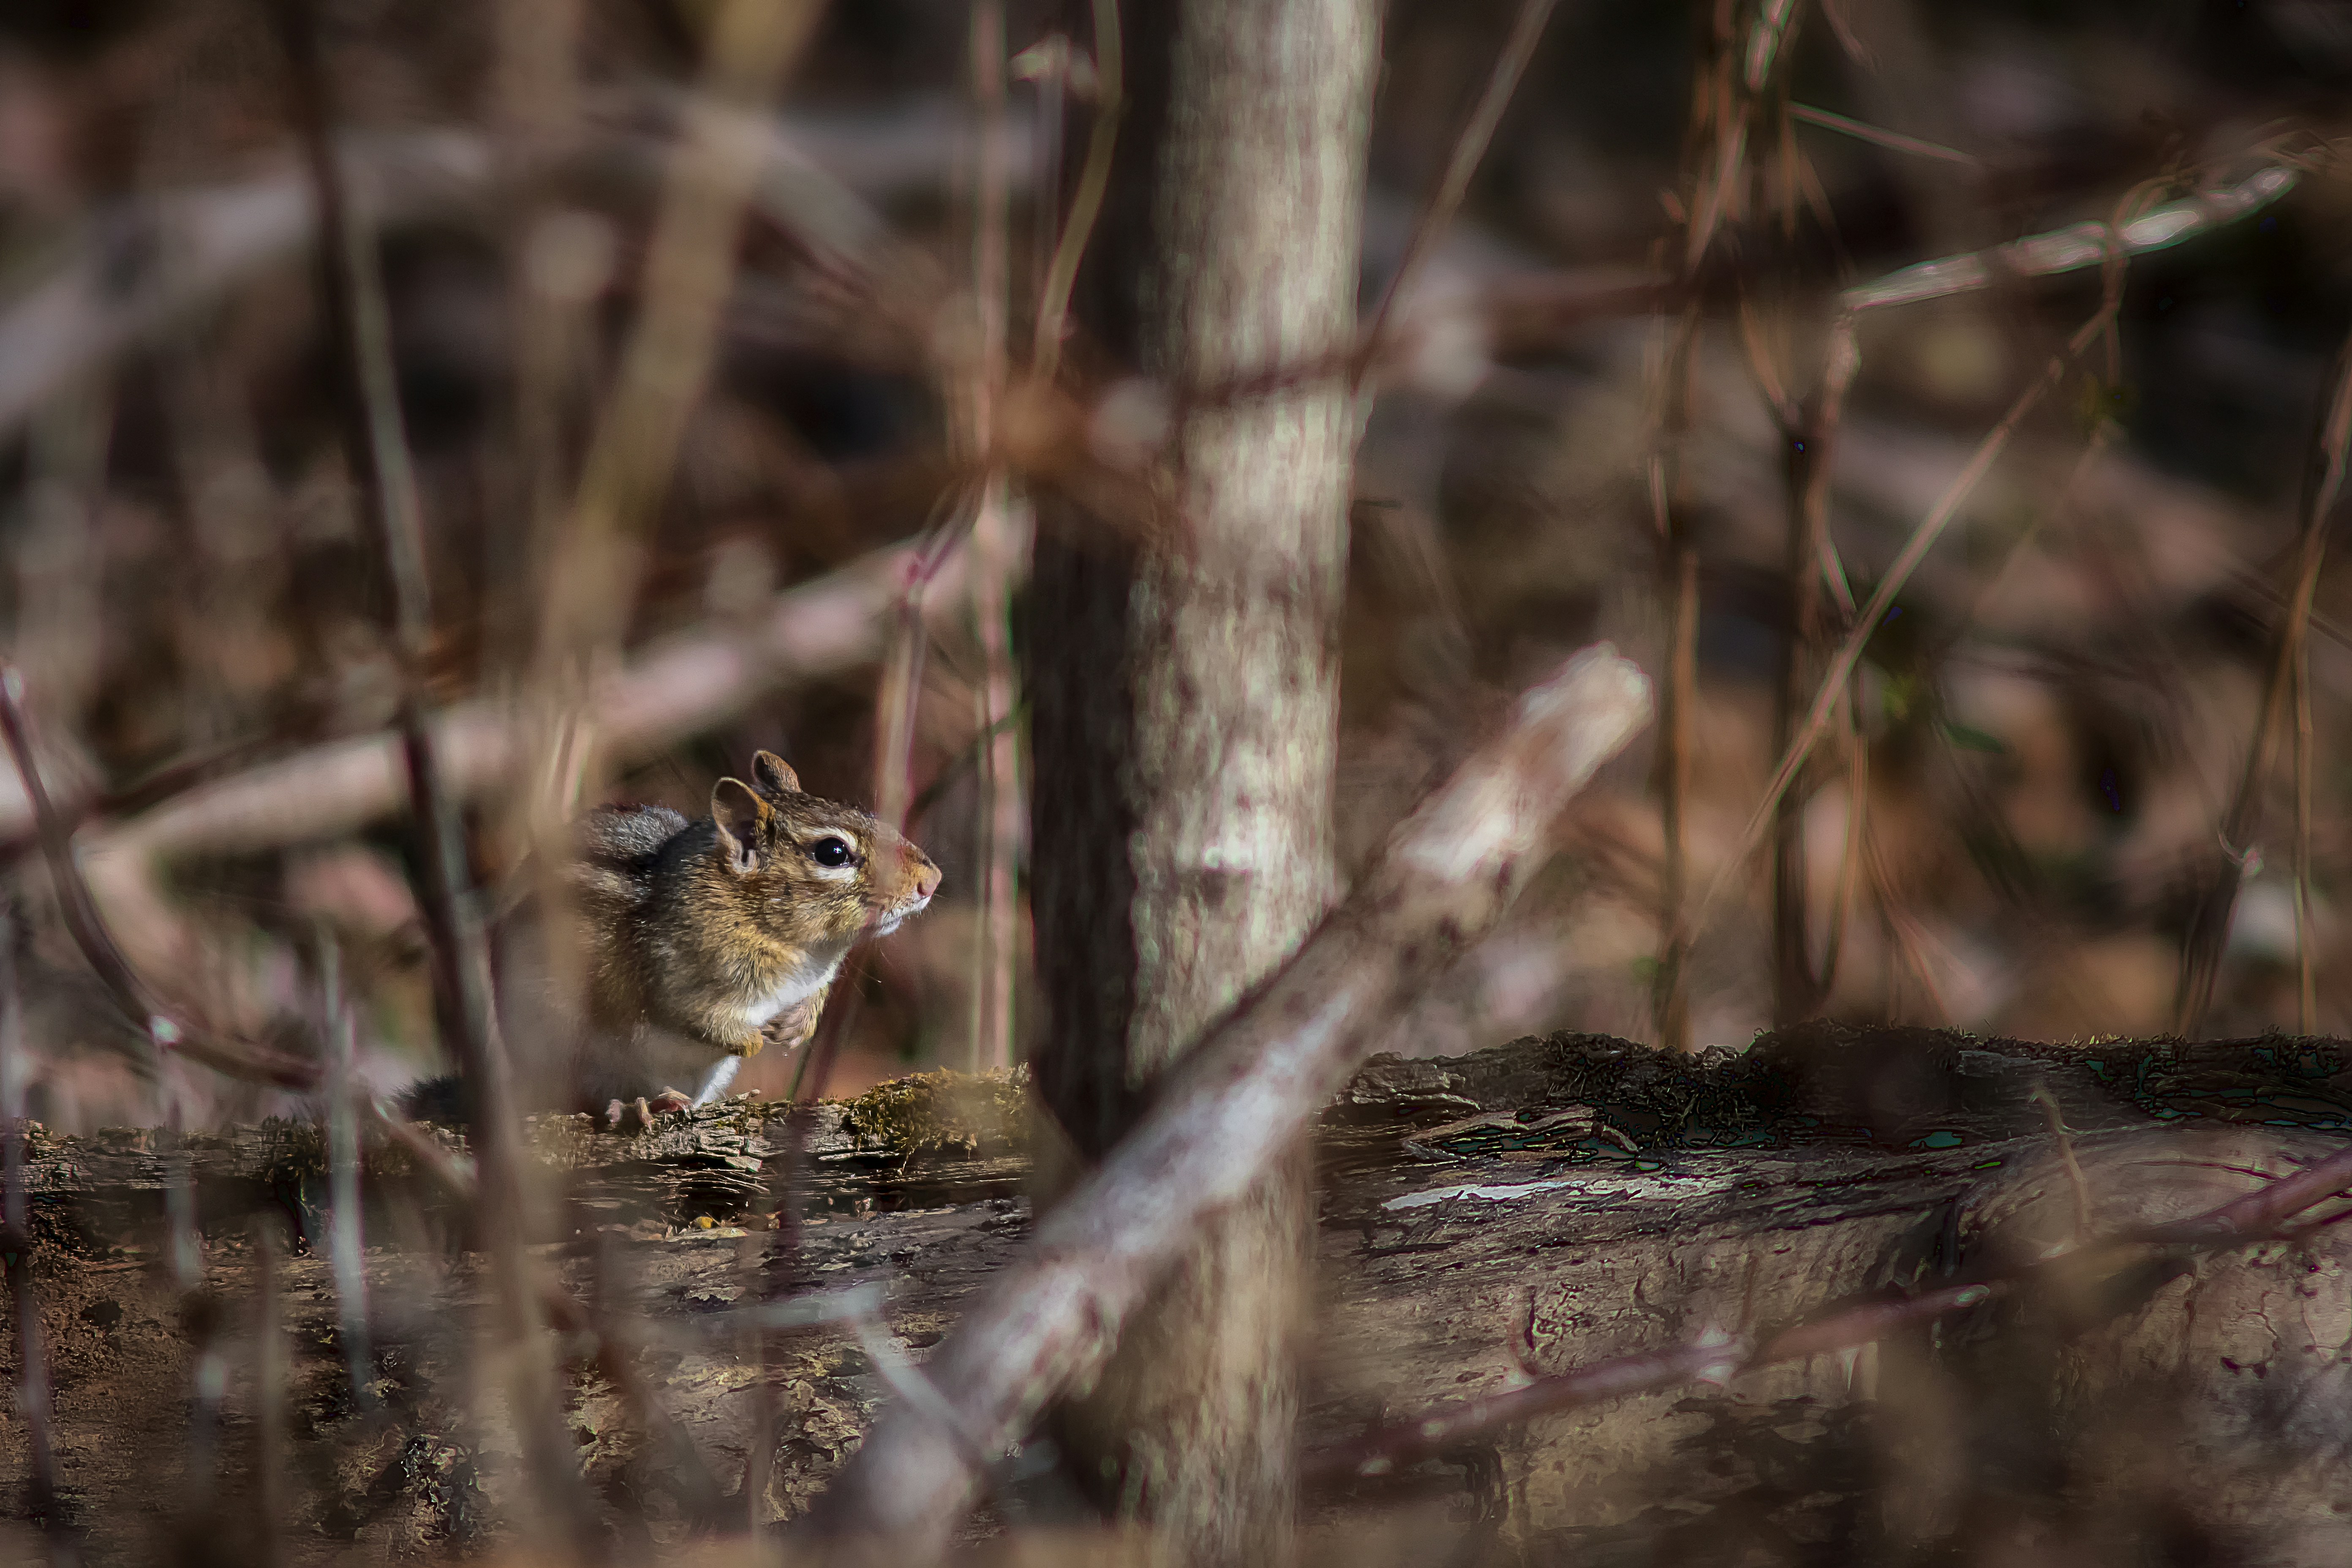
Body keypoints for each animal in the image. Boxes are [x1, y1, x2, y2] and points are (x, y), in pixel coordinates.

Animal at [514, 750, 940, 1118]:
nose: (932, 880)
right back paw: (636, 1106)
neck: (803, 950)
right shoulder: (674, 980)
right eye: (833, 853)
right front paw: (754, 1039)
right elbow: (697, 1019)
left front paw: (796, 1025)